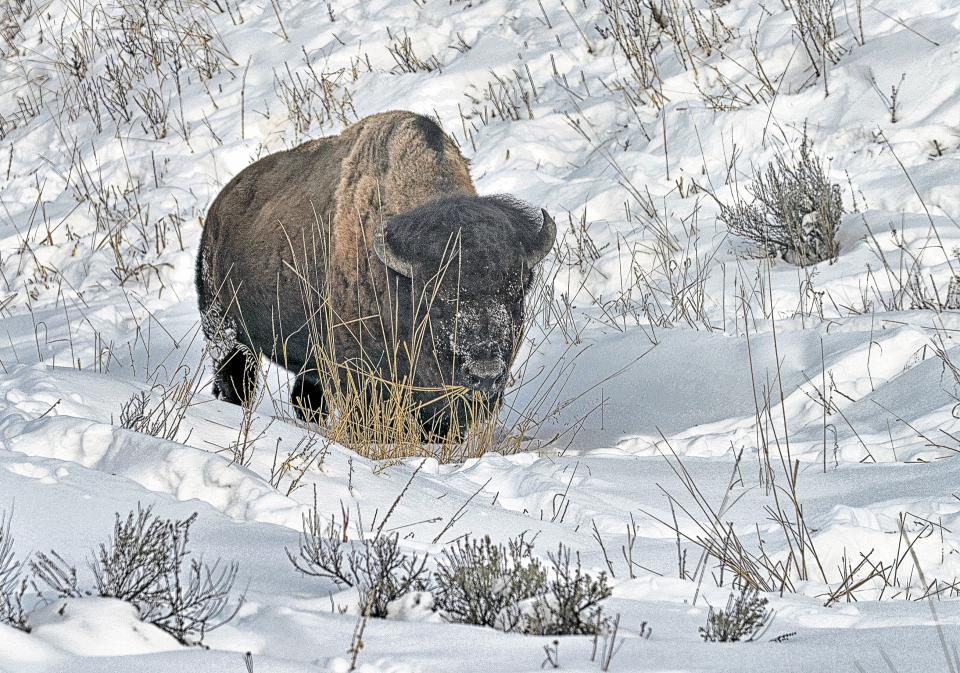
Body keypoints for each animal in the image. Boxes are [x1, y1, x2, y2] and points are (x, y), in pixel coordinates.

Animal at [196, 110, 555, 436]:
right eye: (434, 296)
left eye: (518, 290)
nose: (485, 373)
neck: (399, 282)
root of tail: (217, 213)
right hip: (226, 332)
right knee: (236, 379)